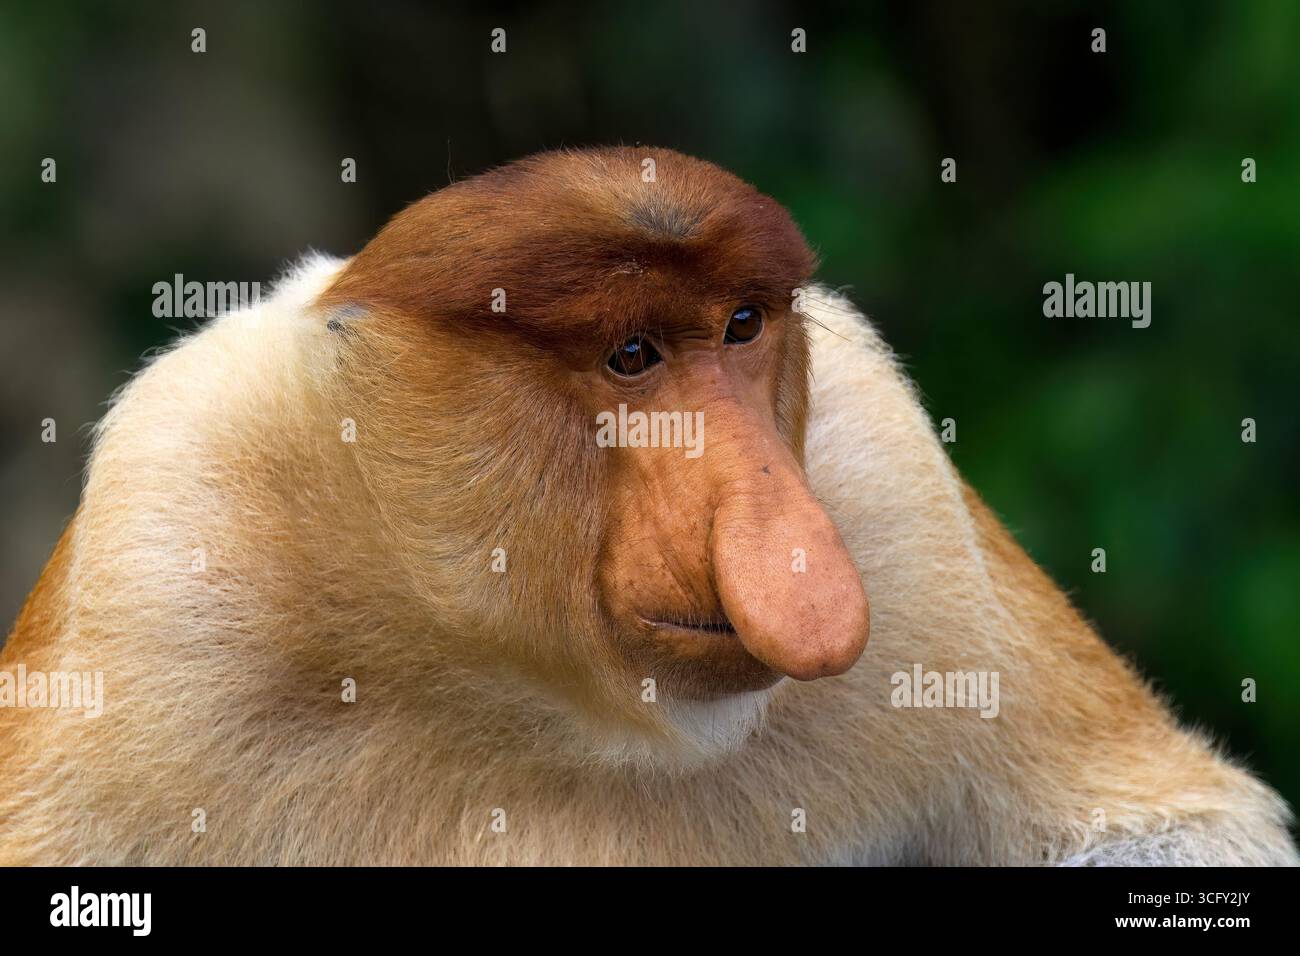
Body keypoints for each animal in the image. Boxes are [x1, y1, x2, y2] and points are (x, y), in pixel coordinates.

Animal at [0, 147, 1294, 866]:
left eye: (741, 326)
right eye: (631, 356)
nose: (794, 558)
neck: (517, 686)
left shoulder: (891, 492)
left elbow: (1176, 821)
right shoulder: (167, 544)